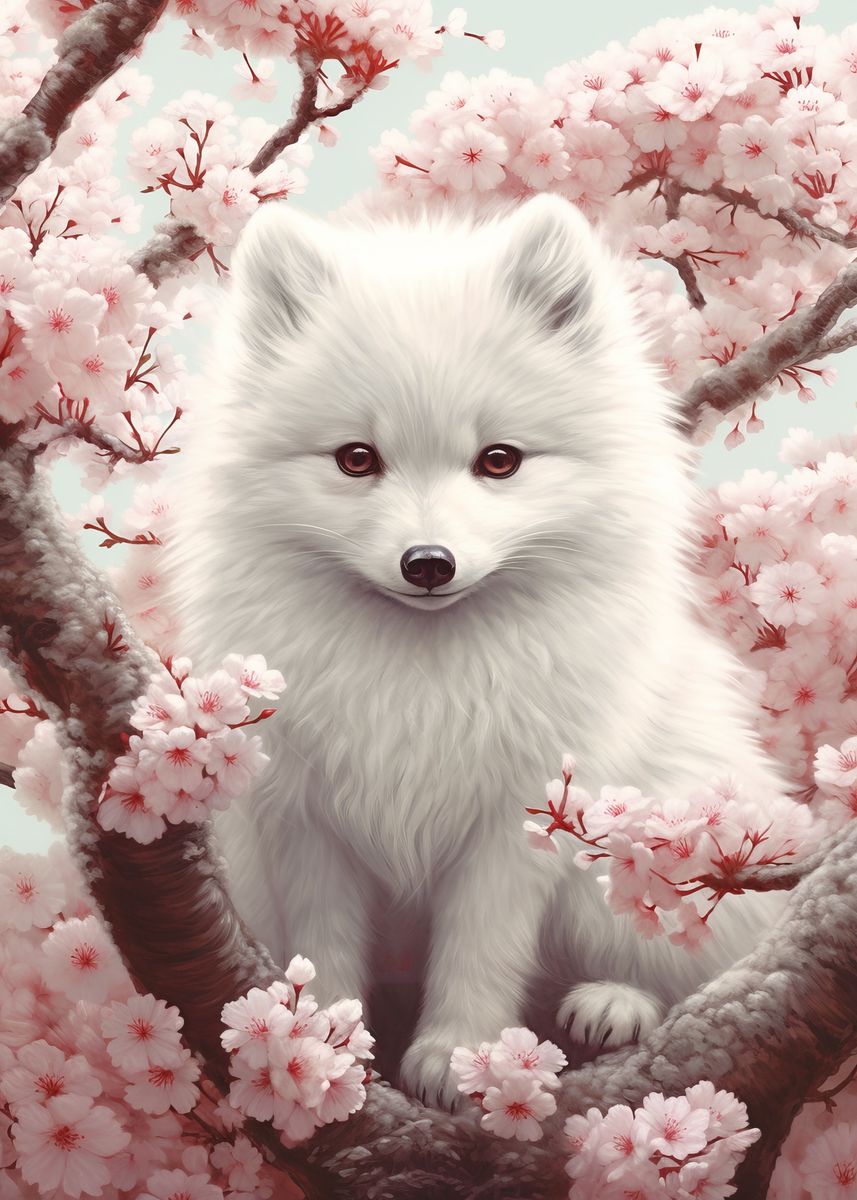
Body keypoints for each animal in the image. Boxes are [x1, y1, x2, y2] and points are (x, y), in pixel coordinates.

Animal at [167, 193, 787, 1109]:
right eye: (356, 458)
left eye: (498, 460)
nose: (427, 563)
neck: (420, 677)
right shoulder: (307, 819)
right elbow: (324, 945)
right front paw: (324, 1046)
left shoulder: (515, 820)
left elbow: (481, 945)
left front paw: (461, 1056)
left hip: (634, 865)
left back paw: (612, 1005)